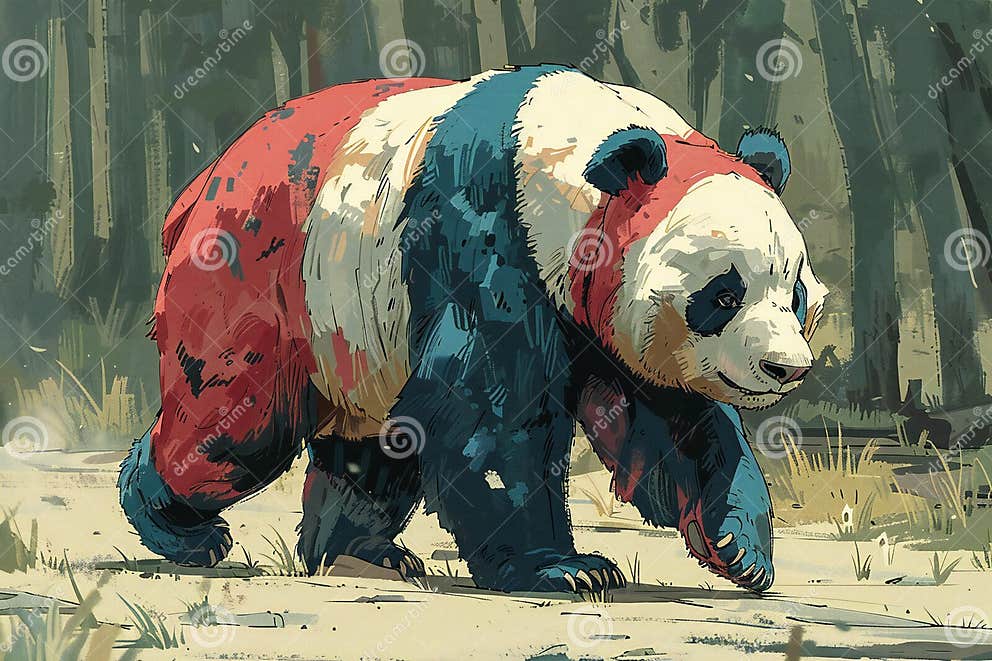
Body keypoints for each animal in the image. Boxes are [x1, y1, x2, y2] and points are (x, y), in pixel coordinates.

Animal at [119, 65, 826, 593]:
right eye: (723, 294)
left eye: (793, 292)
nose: (784, 367)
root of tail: (198, 186)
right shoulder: (488, 236)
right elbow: (491, 412)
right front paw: (565, 569)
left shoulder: (594, 309)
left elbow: (668, 417)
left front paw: (740, 546)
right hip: (266, 274)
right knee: (237, 422)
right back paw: (181, 528)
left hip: (356, 335)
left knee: (374, 446)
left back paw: (361, 553)